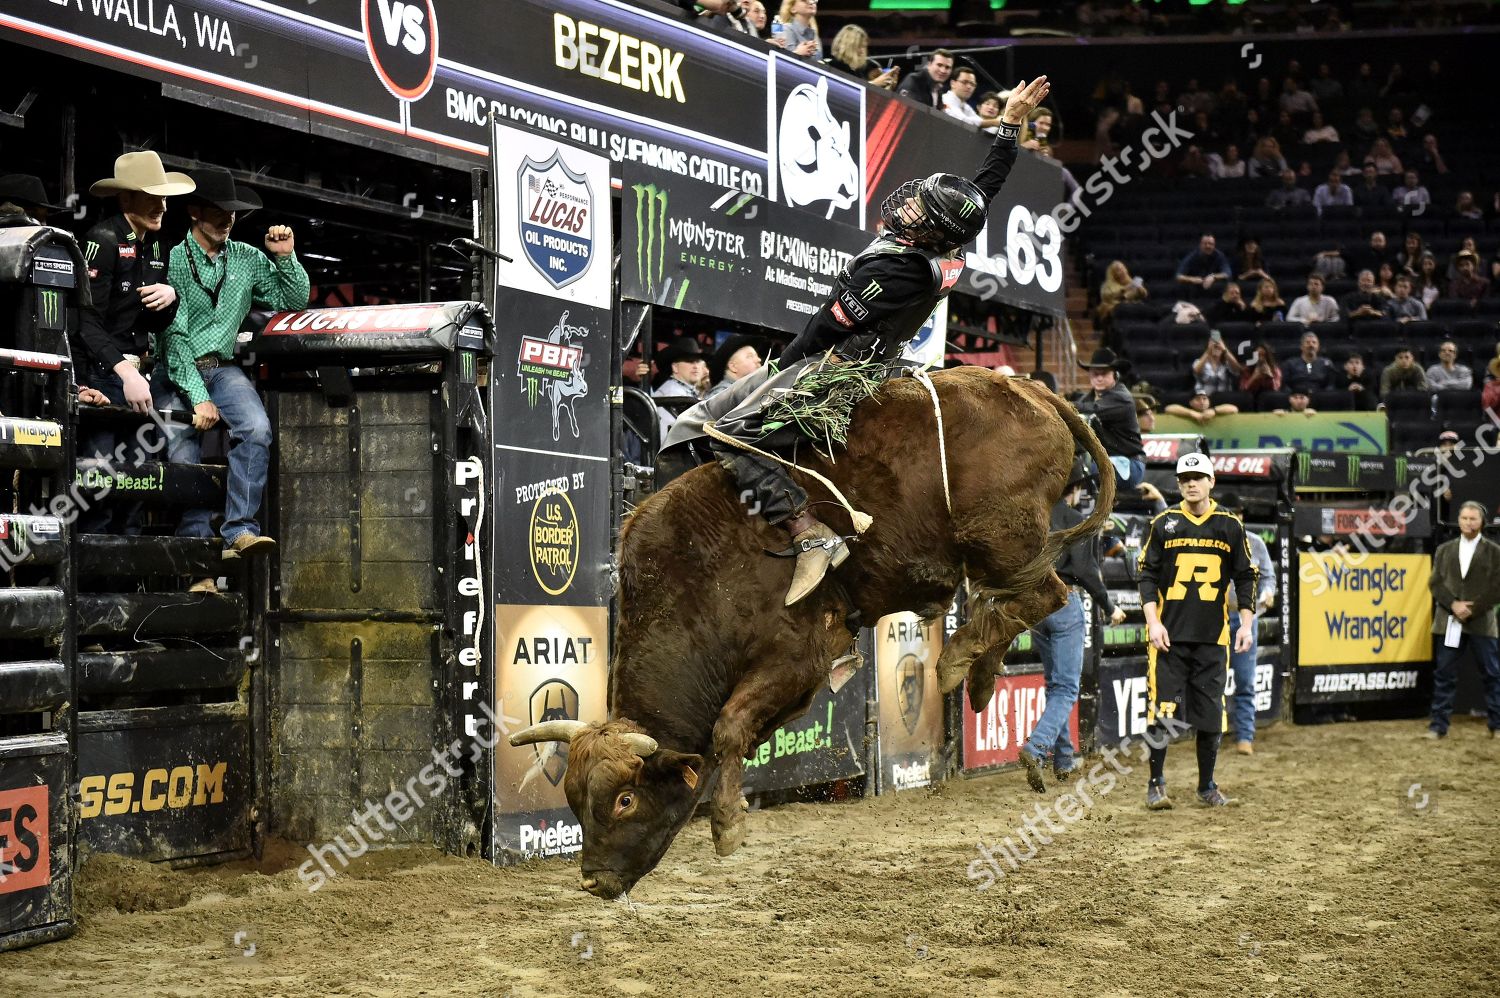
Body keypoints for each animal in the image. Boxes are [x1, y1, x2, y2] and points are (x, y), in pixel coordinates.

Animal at [510, 369, 1114, 899]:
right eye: (573, 802)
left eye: (625, 801)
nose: (593, 882)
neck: (696, 581)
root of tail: (1031, 388)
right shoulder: (798, 683)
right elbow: (735, 734)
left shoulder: (794, 658)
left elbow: (728, 727)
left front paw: (727, 824)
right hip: (1000, 548)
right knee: (1015, 599)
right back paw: (981, 673)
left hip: (1001, 535)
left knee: (1048, 595)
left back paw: (959, 657)